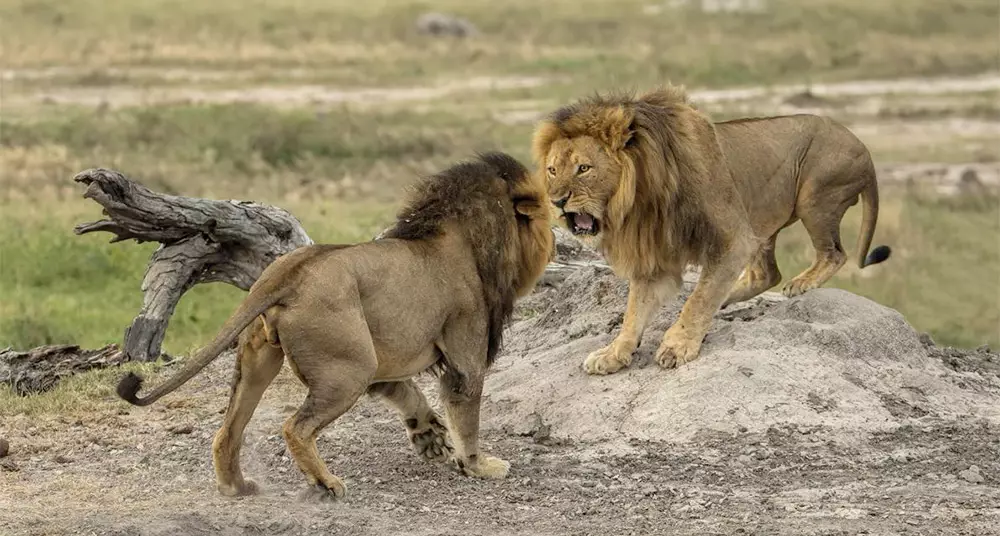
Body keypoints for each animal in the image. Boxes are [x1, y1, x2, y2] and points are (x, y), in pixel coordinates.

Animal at [119, 151, 556, 498]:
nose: (555, 237)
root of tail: (287, 275)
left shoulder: (382, 361)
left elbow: (409, 393)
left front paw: (430, 438)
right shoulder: (465, 351)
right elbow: (467, 415)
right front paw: (479, 465)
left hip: (266, 359)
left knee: (228, 430)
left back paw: (236, 486)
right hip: (348, 370)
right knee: (295, 427)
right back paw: (325, 483)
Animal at [532, 85, 892, 376]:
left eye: (584, 168)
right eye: (552, 170)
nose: (557, 200)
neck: (638, 201)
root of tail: (865, 149)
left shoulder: (733, 238)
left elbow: (698, 299)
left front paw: (678, 345)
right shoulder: (655, 258)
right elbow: (635, 310)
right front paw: (614, 352)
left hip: (814, 197)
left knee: (834, 254)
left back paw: (801, 283)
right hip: (763, 217)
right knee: (766, 274)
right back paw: (731, 298)